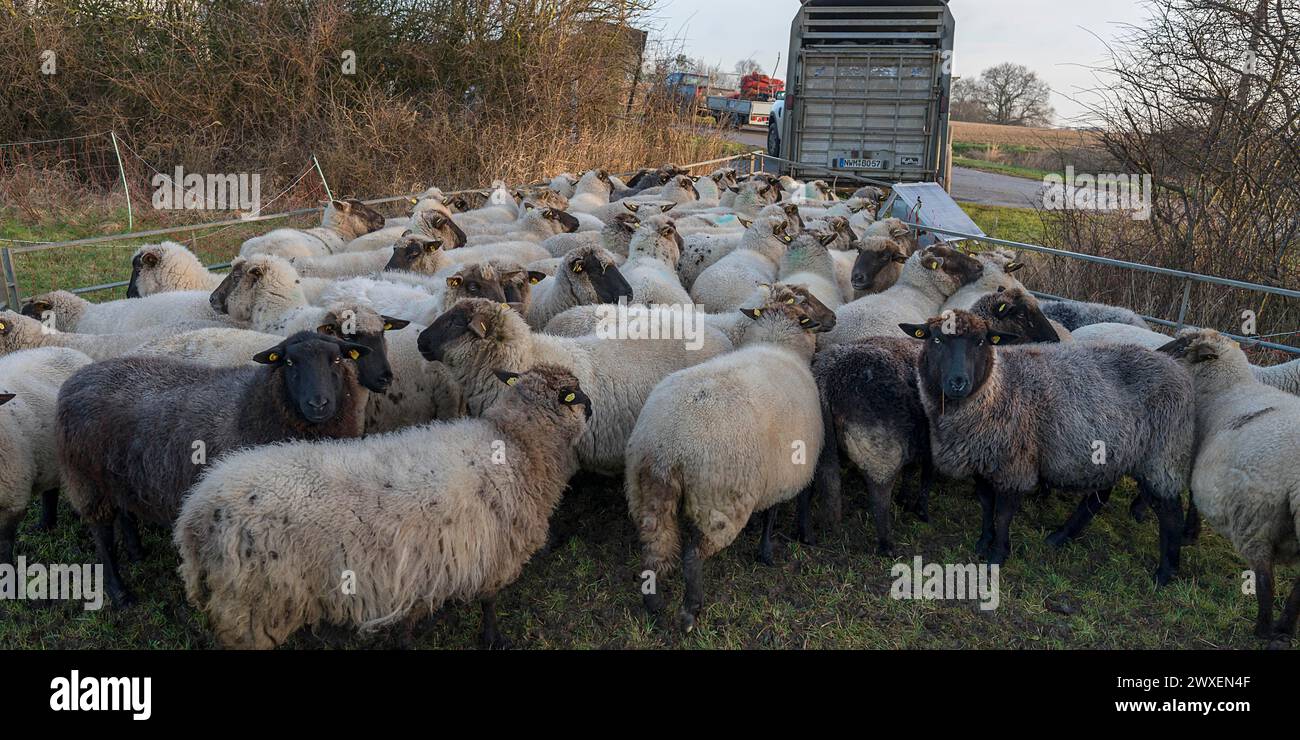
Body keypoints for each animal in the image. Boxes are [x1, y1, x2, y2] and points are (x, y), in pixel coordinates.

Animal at [57, 331, 372, 606]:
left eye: (336, 359)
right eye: (289, 362)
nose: (318, 403)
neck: (254, 404)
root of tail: (75, 379)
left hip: (118, 475)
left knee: (124, 510)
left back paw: (137, 552)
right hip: (86, 479)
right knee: (102, 536)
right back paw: (120, 593)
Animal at [174, 364, 591, 649]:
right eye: (575, 394)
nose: (591, 409)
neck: (518, 443)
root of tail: (194, 514)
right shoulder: (496, 550)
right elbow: (489, 603)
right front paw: (492, 639)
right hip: (253, 606)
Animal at [626, 301, 826, 630]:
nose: (832, 319)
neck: (778, 345)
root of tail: (668, 444)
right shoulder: (783, 473)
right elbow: (771, 515)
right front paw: (766, 553)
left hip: (646, 490)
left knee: (654, 548)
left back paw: (653, 603)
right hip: (720, 502)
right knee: (693, 555)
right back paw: (690, 612)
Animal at [900, 310, 1194, 584]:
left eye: (981, 341)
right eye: (936, 339)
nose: (958, 382)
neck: (998, 388)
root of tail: (1175, 368)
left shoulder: (1015, 465)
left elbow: (1003, 513)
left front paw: (997, 555)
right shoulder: (983, 460)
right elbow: (986, 504)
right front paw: (984, 542)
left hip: (1161, 455)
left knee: (1171, 514)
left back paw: (1166, 573)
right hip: (1113, 451)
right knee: (1098, 498)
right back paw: (1060, 537)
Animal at [1156, 329, 1300, 645]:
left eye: (1182, 346)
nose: (1157, 353)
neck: (1227, 386)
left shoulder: (1195, 453)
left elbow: (1193, 497)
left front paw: (1189, 533)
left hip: (1257, 517)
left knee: (1265, 579)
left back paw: (1262, 630)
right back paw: (1284, 630)